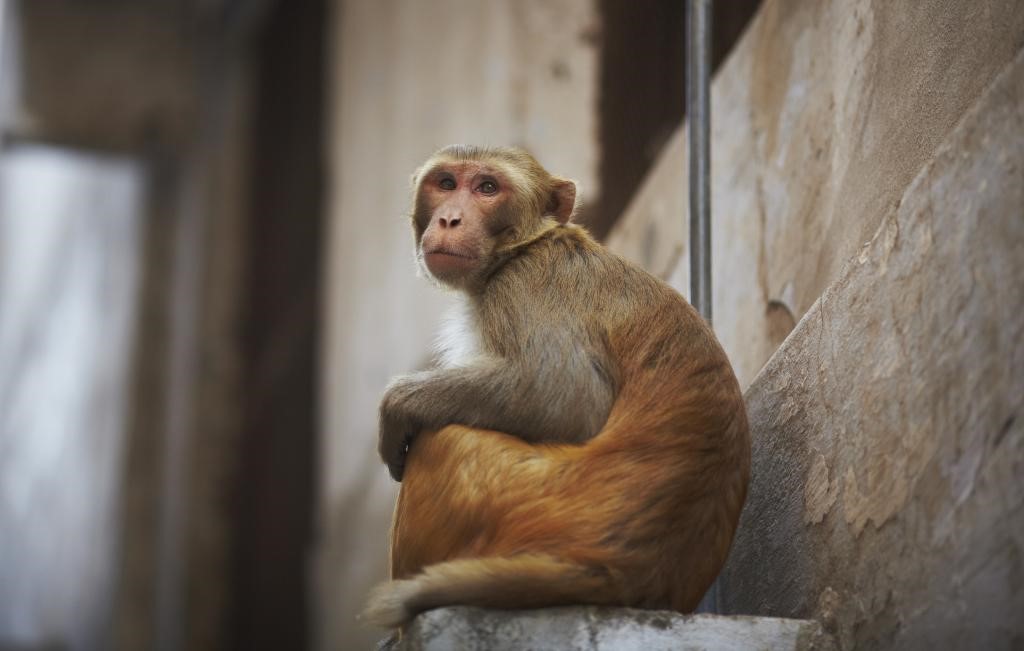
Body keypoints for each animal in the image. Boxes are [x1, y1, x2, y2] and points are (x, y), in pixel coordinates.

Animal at [364, 145, 750, 629]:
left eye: (487, 187)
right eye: (446, 183)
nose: (449, 219)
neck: (523, 248)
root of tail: (620, 572)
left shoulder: (527, 284)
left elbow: (564, 395)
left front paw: (396, 406)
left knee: (443, 438)